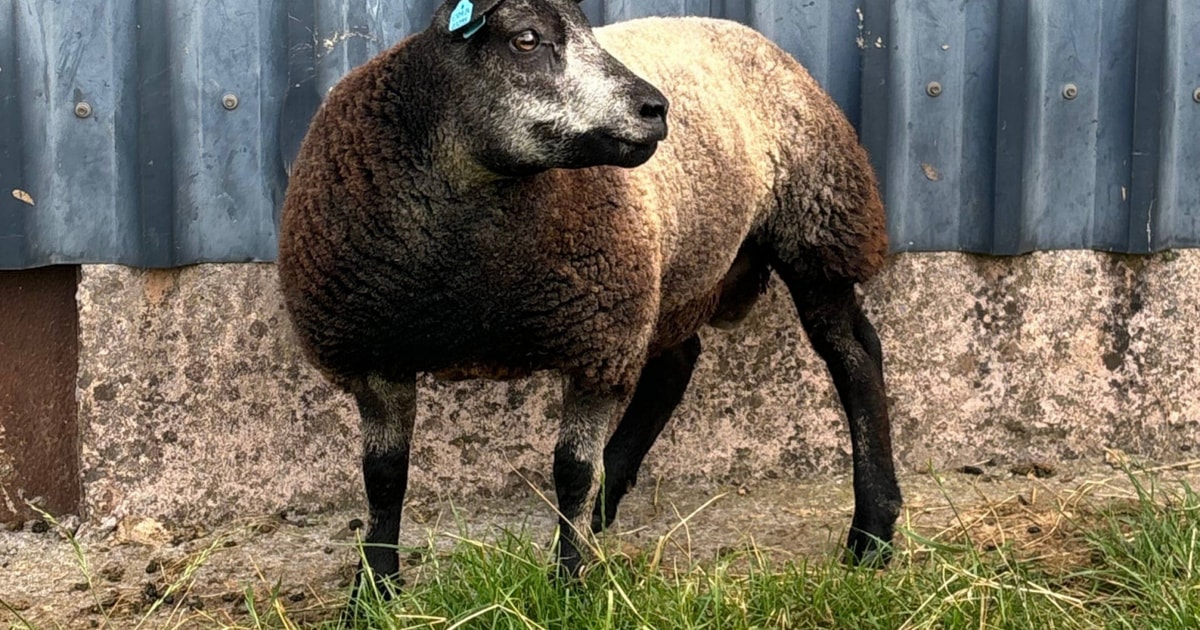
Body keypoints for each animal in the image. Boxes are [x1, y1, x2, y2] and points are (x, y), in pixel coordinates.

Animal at [278, 0, 902, 592]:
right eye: (526, 39)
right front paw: (374, 590)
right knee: (675, 364)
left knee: (855, 354)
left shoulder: (597, 341)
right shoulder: (373, 351)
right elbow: (383, 479)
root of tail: (741, 31)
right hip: (666, 275)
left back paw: (872, 532)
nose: (656, 109)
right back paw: (604, 510)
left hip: (819, 224)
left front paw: (568, 582)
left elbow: (572, 471)